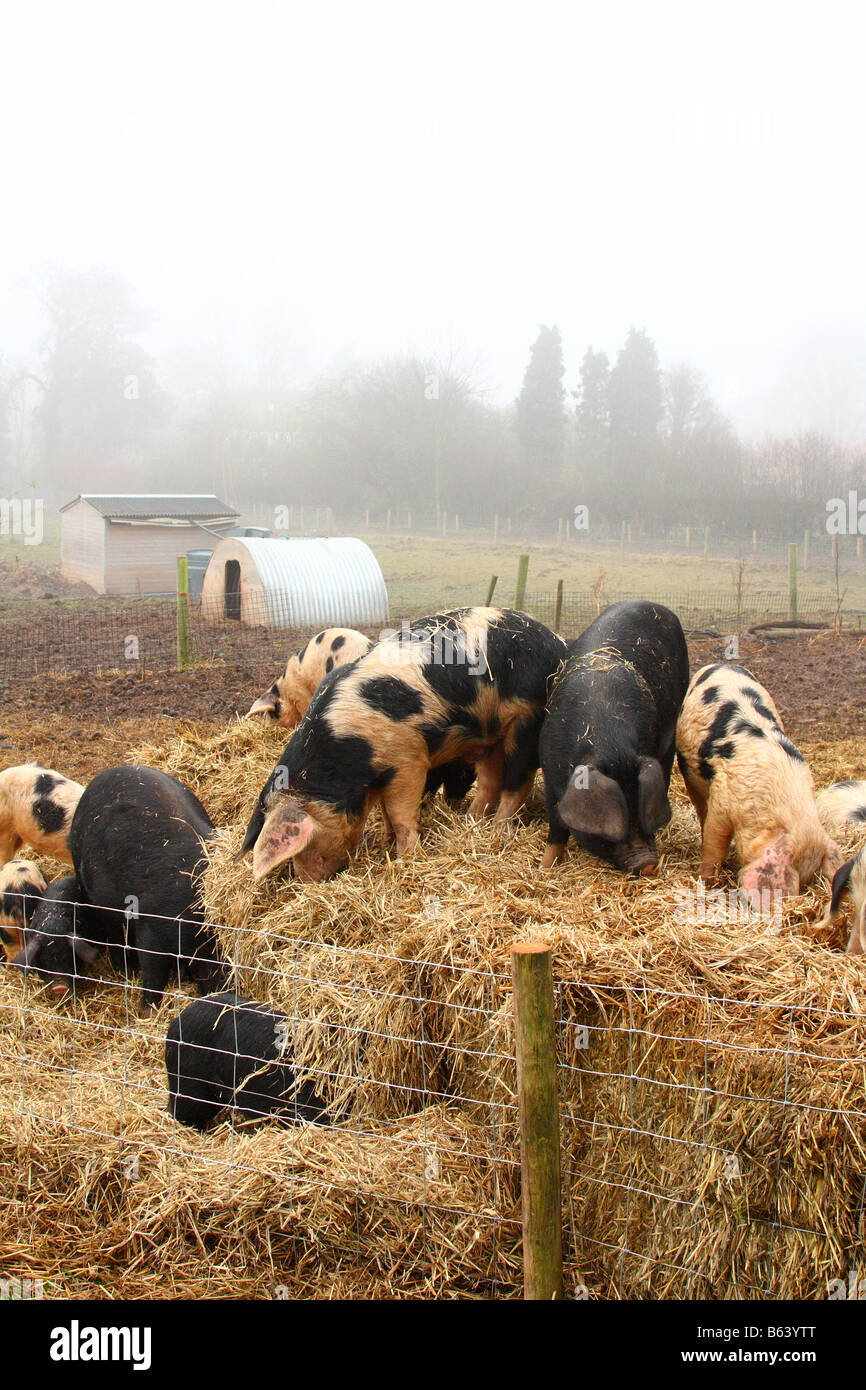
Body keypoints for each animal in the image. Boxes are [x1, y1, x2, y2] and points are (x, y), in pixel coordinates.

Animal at [14, 766, 228, 1011]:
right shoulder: (152, 928)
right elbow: (154, 972)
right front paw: (147, 1009)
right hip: (93, 890)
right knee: (115, 932)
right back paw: (125, 971)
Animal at [238, 607, 568, 882]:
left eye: (301, 841)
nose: (306, 880)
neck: (352, 753)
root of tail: (559, 644)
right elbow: (385, 812)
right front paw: (386, 840)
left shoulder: (408, 761)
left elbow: (401, 814)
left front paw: (406, 857)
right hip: (490, 734)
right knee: (489, 781)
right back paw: (470, 821)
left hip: (526, 721)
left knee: (516, 783)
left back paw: (498, 830)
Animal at [540, 600, 690, 874]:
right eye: (611, 834)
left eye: (640, 809)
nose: (648, 863)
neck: (609, 744)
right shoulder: (550, 774)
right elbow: (556, 826)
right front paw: (546, 867)